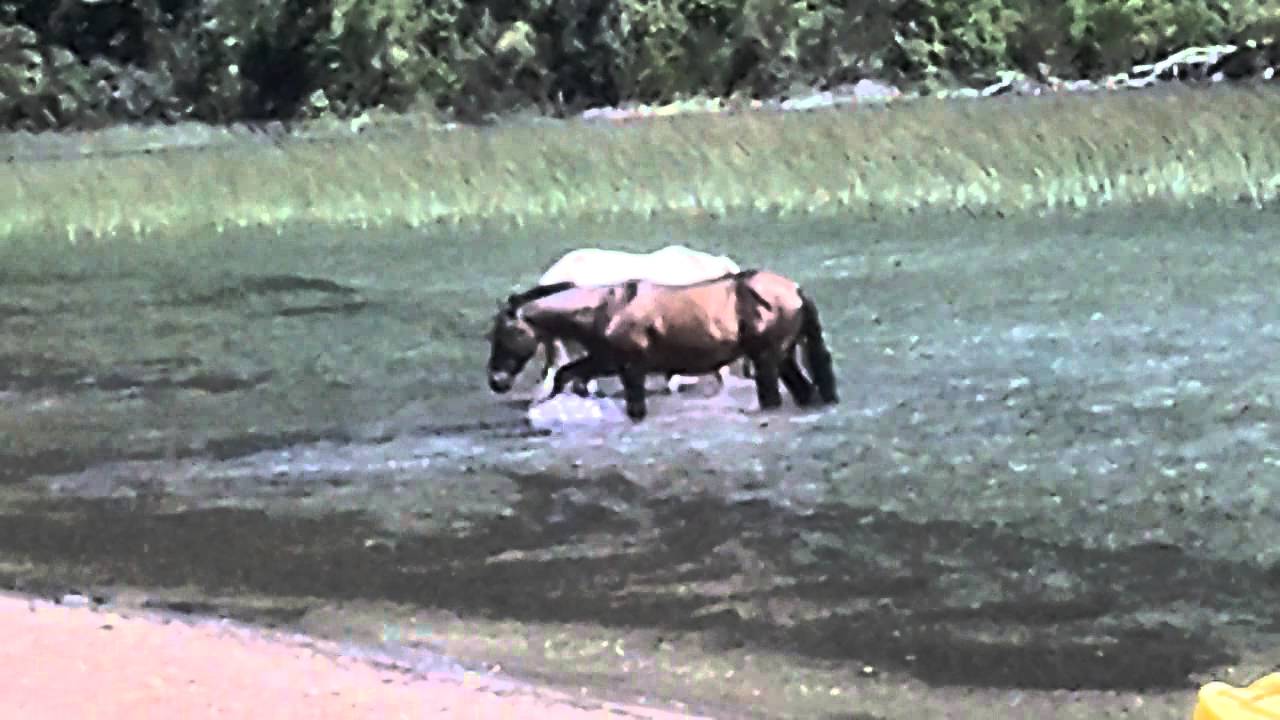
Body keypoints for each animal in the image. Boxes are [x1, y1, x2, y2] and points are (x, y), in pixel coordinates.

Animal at [486, 270, 838, 421]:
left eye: (503, 334)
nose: (496, 381)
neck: (606, 308)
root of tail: (794, 289)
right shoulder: (604, 361)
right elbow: (566, 376)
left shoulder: (630, 369)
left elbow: (635, 408)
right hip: (785, 357)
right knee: (804, 391)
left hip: (767, 359)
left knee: (772, 398)